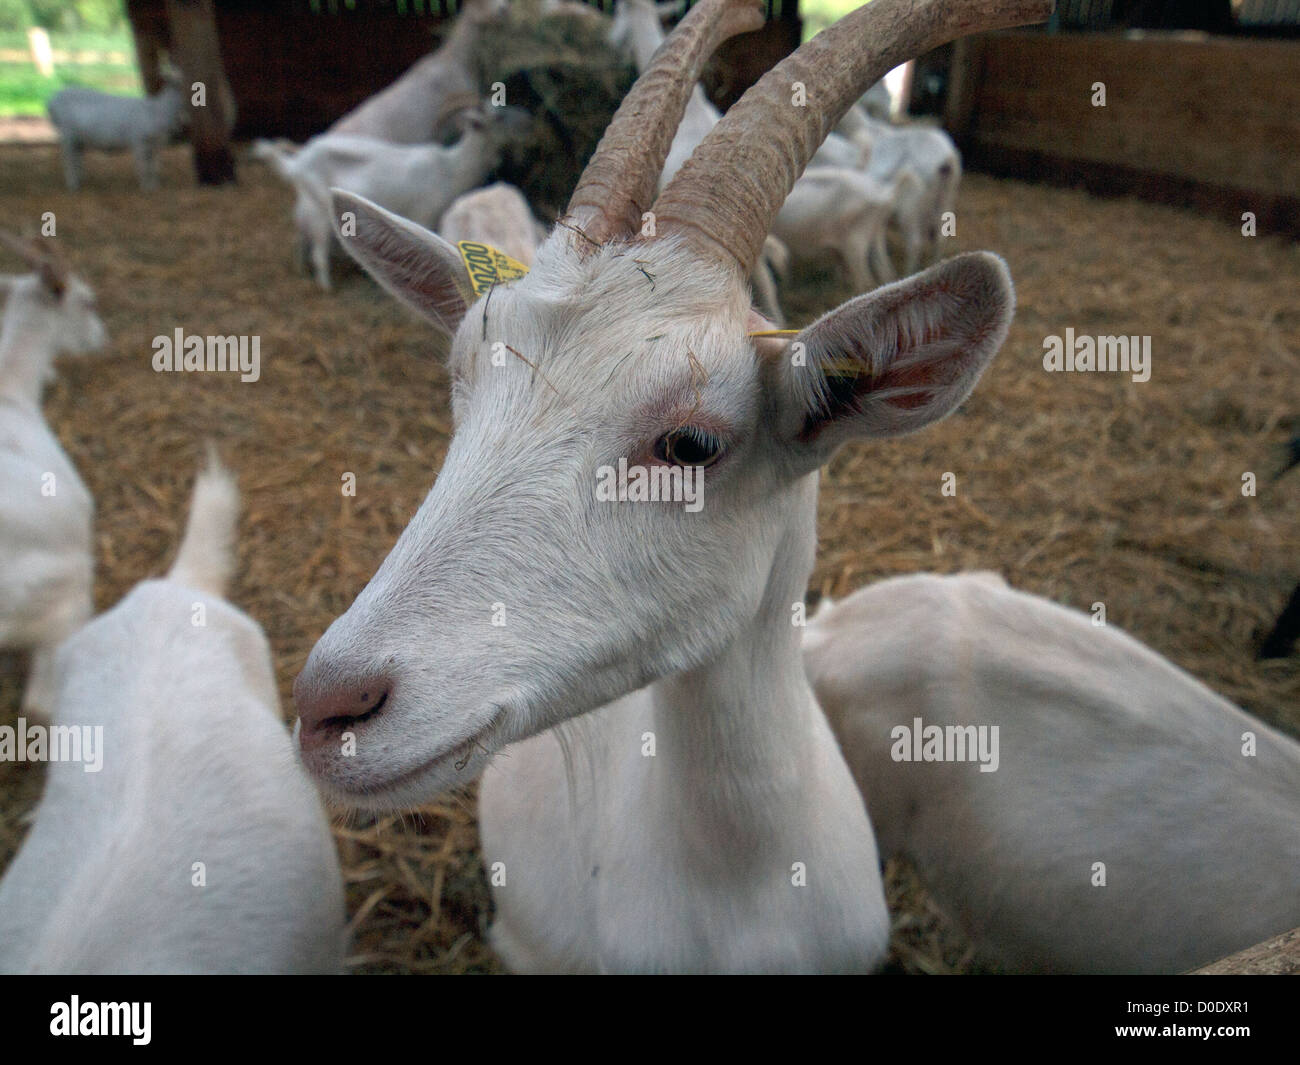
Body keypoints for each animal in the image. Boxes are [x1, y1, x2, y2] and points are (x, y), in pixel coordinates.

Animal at [47, 78, 186, 192]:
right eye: (180, 84)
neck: (159, 110)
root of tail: (52, 101)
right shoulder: (139, 140)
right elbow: (143, 165)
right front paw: (146, 187)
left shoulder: (155, 144)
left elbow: (153, 165)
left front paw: (154, 185)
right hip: (67, 133)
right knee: (68, 159)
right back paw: (73, 185)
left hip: (77, 138)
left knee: (77, 158)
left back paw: (81, 179)